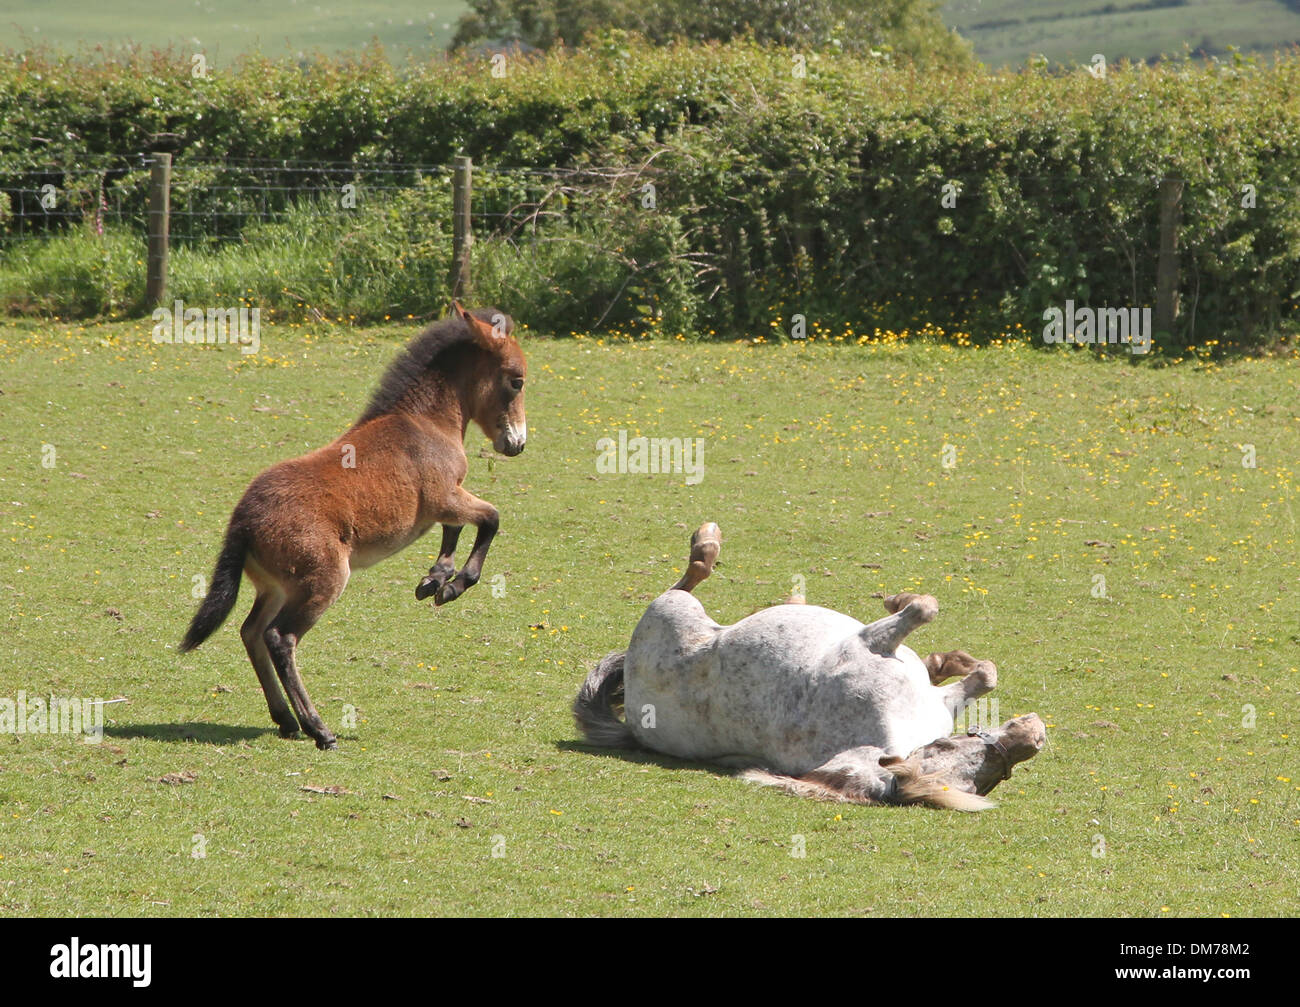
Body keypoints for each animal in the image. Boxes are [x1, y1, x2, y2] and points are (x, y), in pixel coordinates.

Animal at [180, 303, 527, 749]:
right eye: (516, 381)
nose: (517, 443)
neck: (423, 422)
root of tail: (242, 522)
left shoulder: (445, 503)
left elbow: (456, 530)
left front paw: (434, 579)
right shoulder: (446, 497)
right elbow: (491, 519)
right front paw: (453, 586)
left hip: (276, 588)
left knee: (251, 632)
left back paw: (286, 720)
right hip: (322, 582)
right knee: (280, 638)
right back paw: (318, 728)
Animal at [574, 523, 1045, 810]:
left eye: (987, 781)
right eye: (946, 748)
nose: (1034, 735)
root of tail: (635, 721)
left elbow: (973, 661)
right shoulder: (874, 644)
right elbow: (937, 622)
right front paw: (904, 606)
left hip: (672, 613)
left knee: (695, 575)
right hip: (674, 609)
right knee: (691, 578)